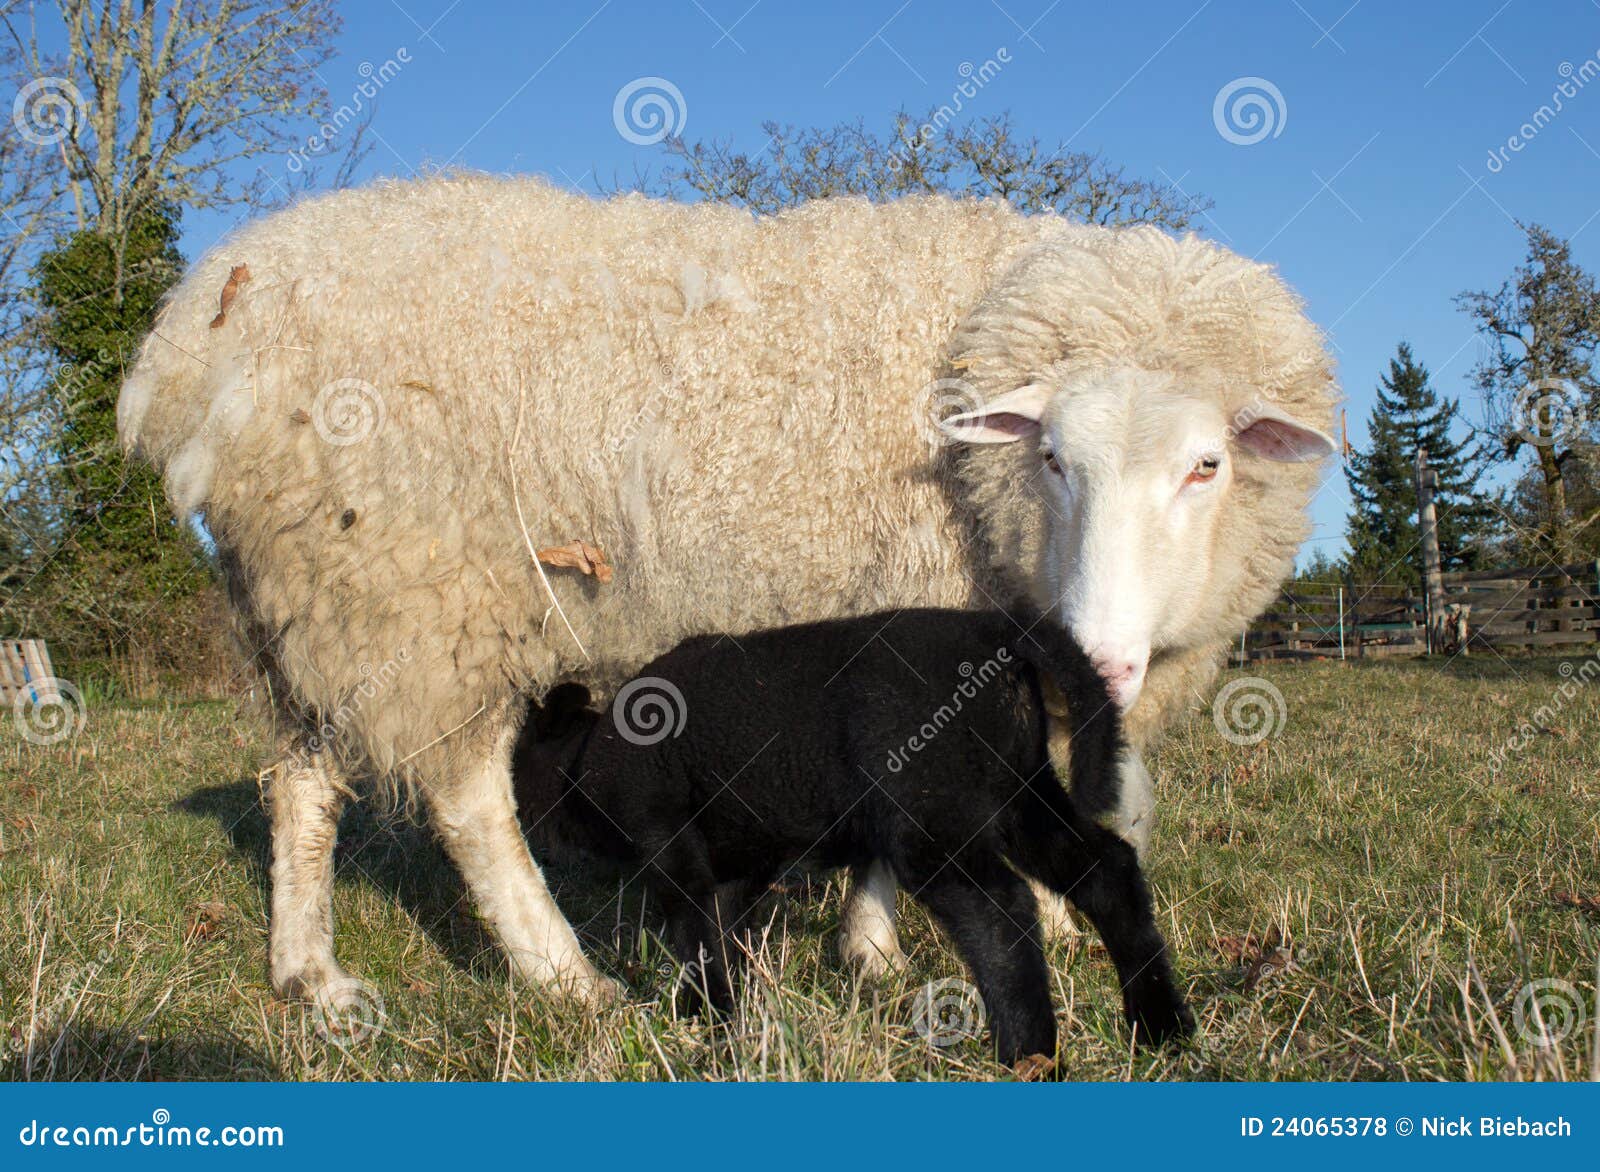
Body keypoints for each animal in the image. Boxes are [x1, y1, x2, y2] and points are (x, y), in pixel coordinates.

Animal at [117, 173, 1337, 1010]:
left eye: (1208, 465)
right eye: (1050, 459)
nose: (1107, 656)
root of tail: (190, 345)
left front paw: (1039, 917)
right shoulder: (917, 621)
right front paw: (877, 950)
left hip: (307, 599)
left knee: (300, 782)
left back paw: (310, 978)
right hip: (421, 587)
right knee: (467, 802)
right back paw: (570, 981)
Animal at [511, 604, 1194, 1068]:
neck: (585, 759)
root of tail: (998, 635)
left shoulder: (669, 842)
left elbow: (695, 932)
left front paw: (707, 1019)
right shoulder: (749, 857)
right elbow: (723, 930)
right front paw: (726, 1019)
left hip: (933, 815)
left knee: (1002, 913)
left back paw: (1029, 1056)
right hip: (1020, 790)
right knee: (1108, 871)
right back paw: (1161, 1029)